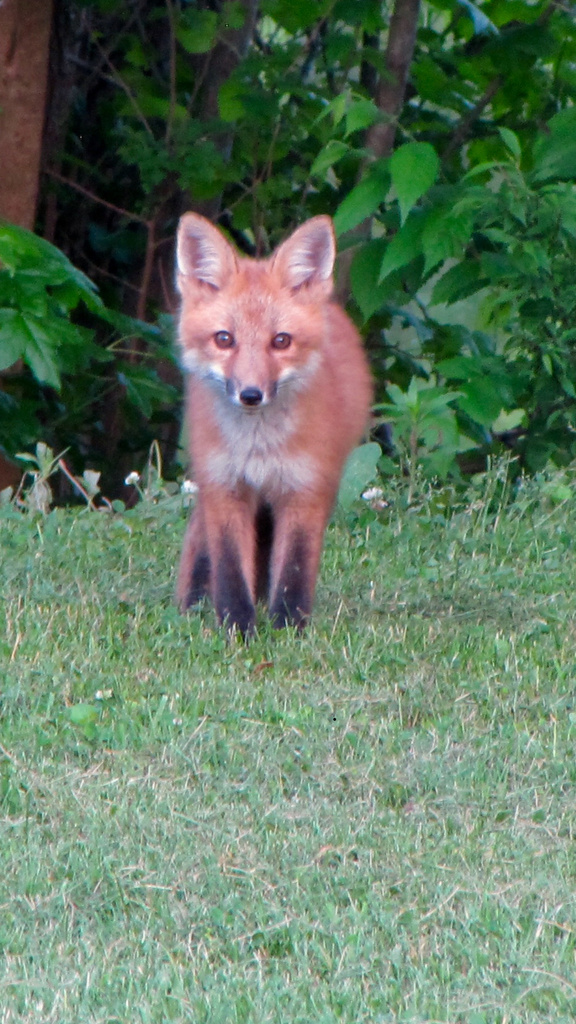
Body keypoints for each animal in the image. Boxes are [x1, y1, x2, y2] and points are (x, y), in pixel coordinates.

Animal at [175, 212, 373, 635]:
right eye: (224, 339)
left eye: (281, 341)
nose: (251, 394)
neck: (258, 447)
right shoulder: (225, 487)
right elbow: (229, 568)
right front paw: (237, 628)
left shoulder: (305, 489)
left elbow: (295, 567)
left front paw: (288, 628)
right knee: (200, 541)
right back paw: (193, 604)